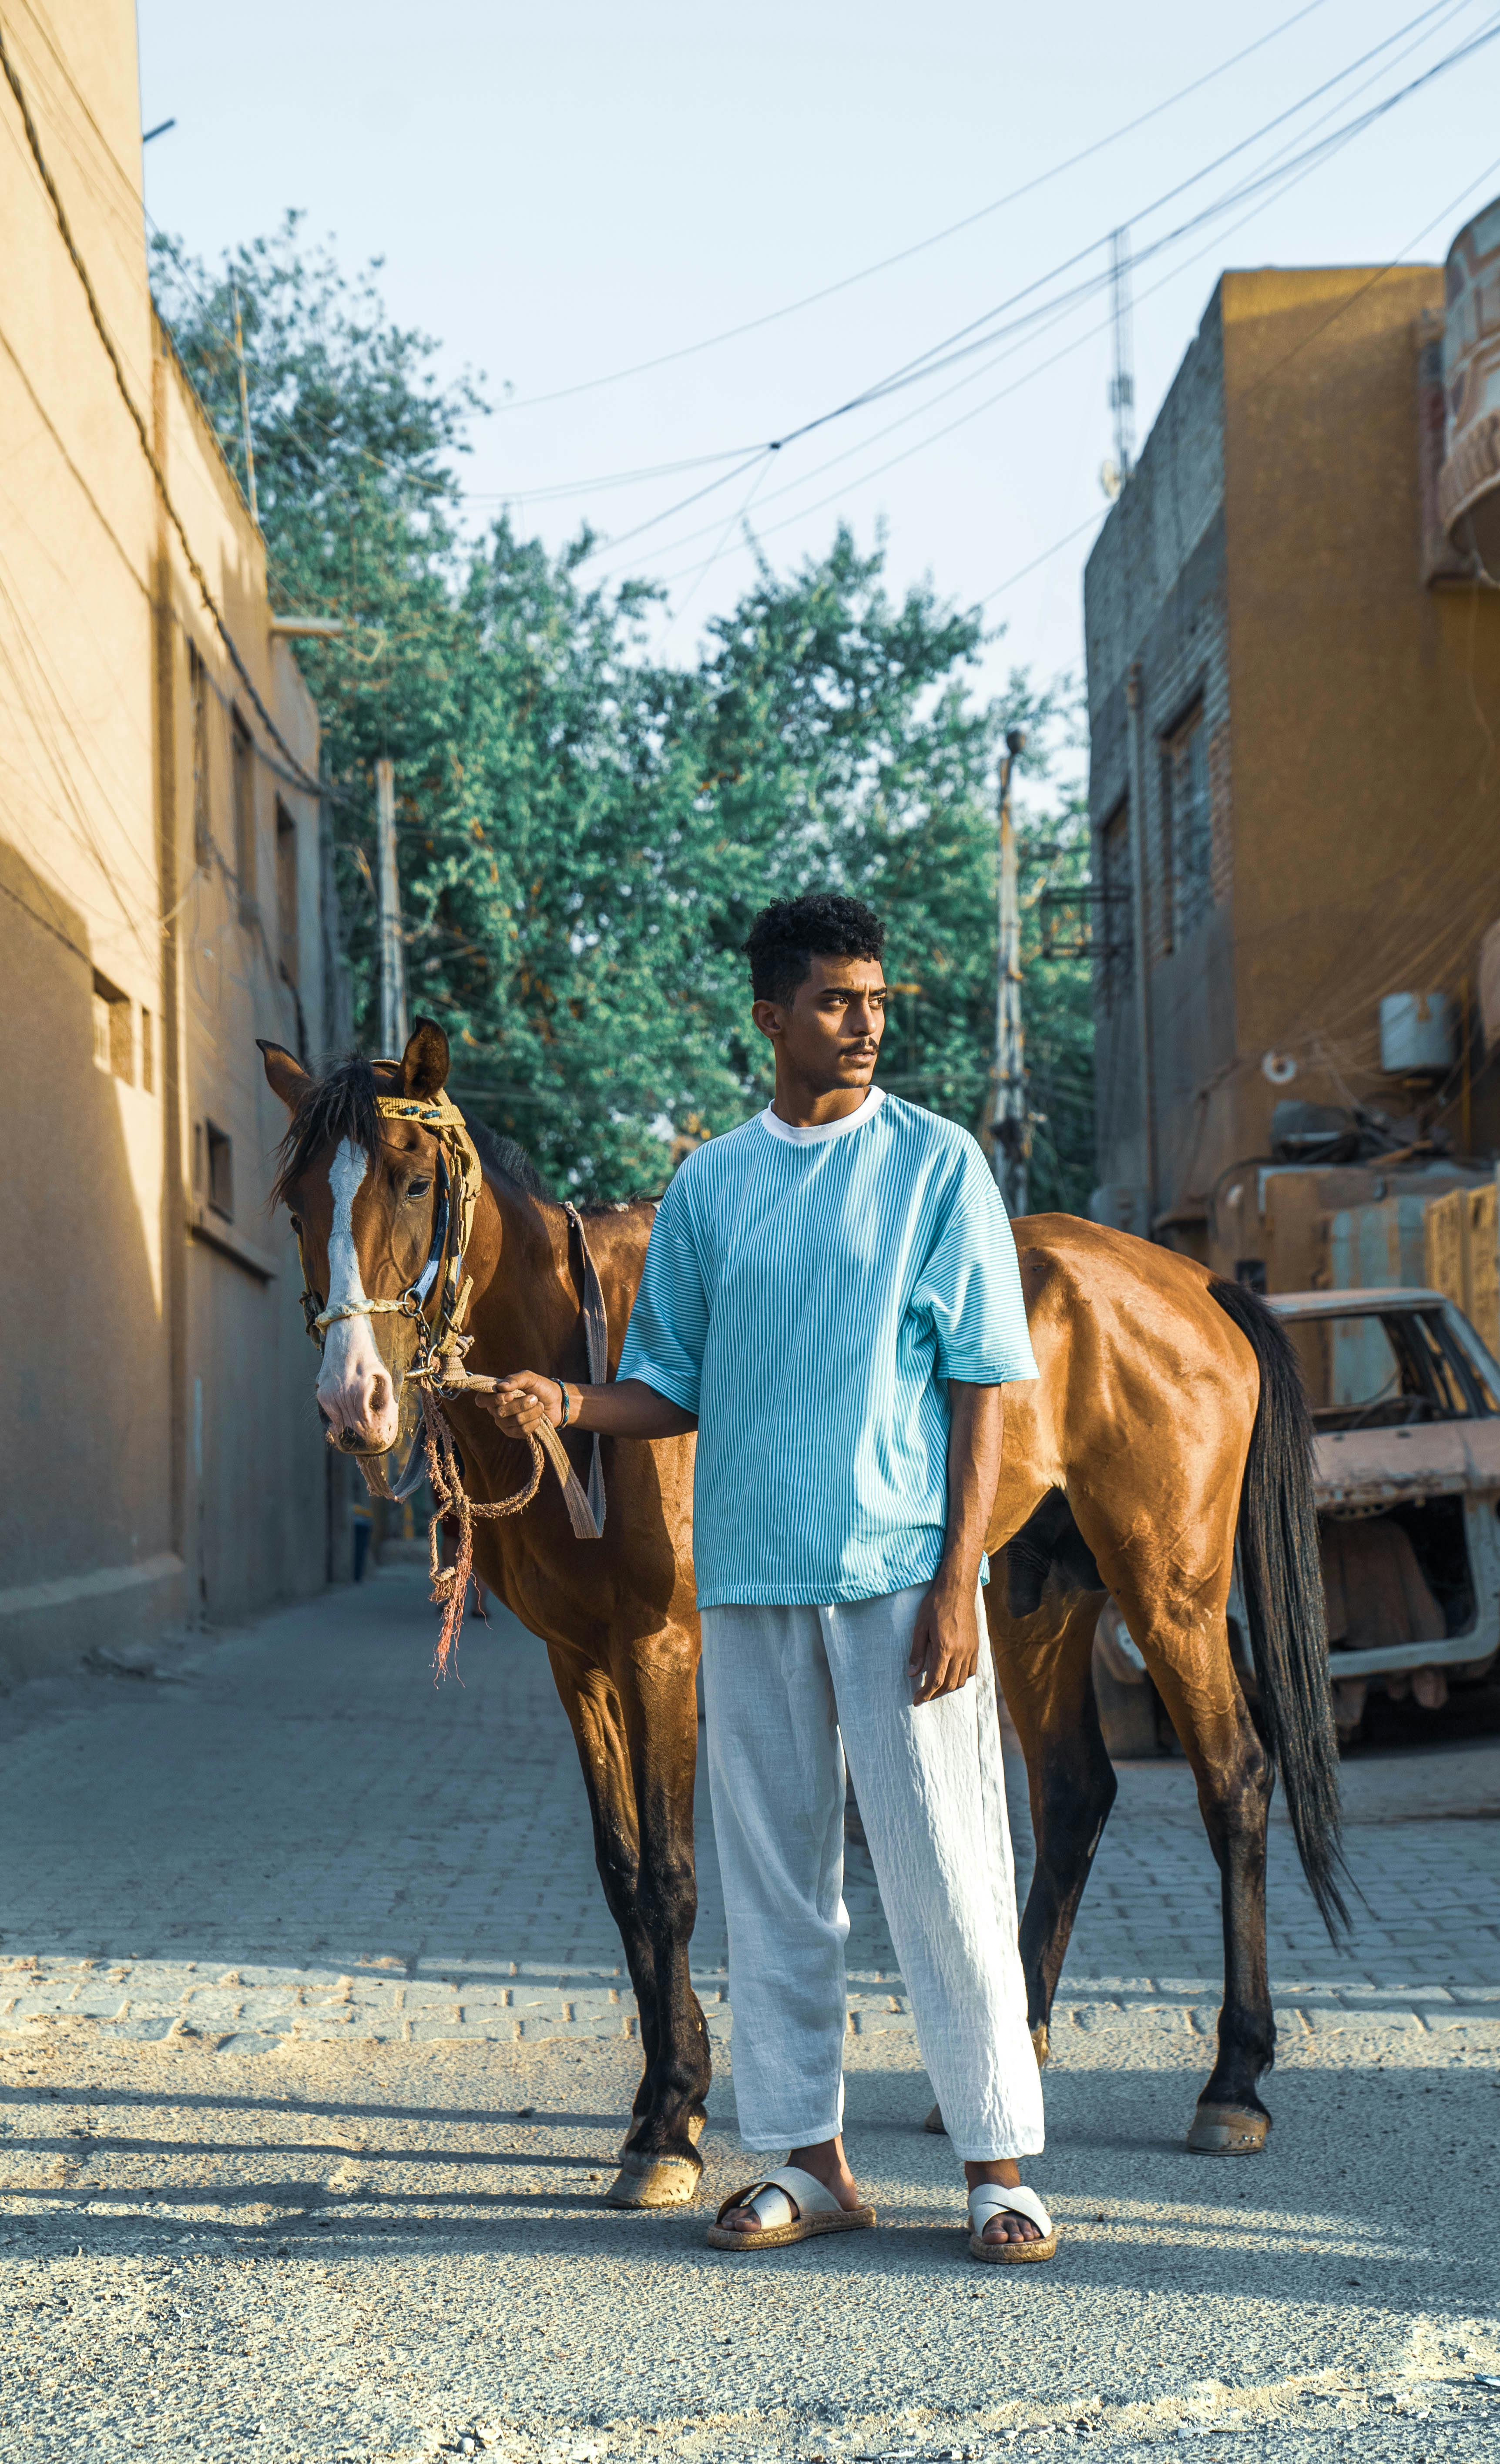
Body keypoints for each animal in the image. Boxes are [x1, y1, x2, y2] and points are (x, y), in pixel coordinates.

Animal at [260, 1021, 1344, 2194]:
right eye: (297, 1203)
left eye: (414, 1182)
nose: (354, 1399)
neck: (584, 1354)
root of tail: (1191, 1279)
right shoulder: (577, 1661)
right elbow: (622, 1871)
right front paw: (662, 2096)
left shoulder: (659, 1650)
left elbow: (672, 1877)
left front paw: (671, 2121)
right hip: (1038, 1593)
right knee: (1071, 1794)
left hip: (1168, 1585)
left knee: (1233, 1778)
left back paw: (1231, 2081)